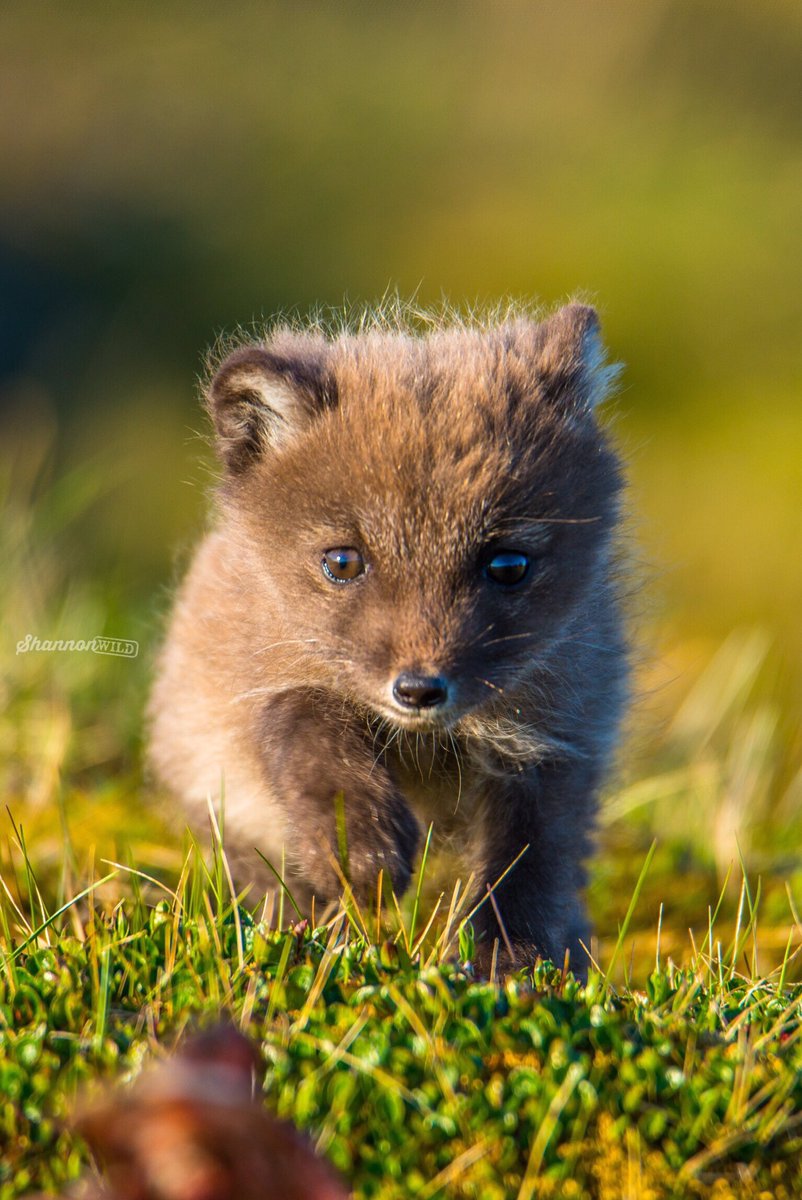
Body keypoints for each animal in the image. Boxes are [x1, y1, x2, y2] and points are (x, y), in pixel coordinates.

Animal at [147, 302, 629, 976]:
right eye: (343, 562)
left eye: (508, 564)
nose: (420, 689)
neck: (424, 744)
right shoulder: (266, 676)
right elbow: (307, 717)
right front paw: (360, 852)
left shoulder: (558, 739)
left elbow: (529, 865)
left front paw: (514, 965)